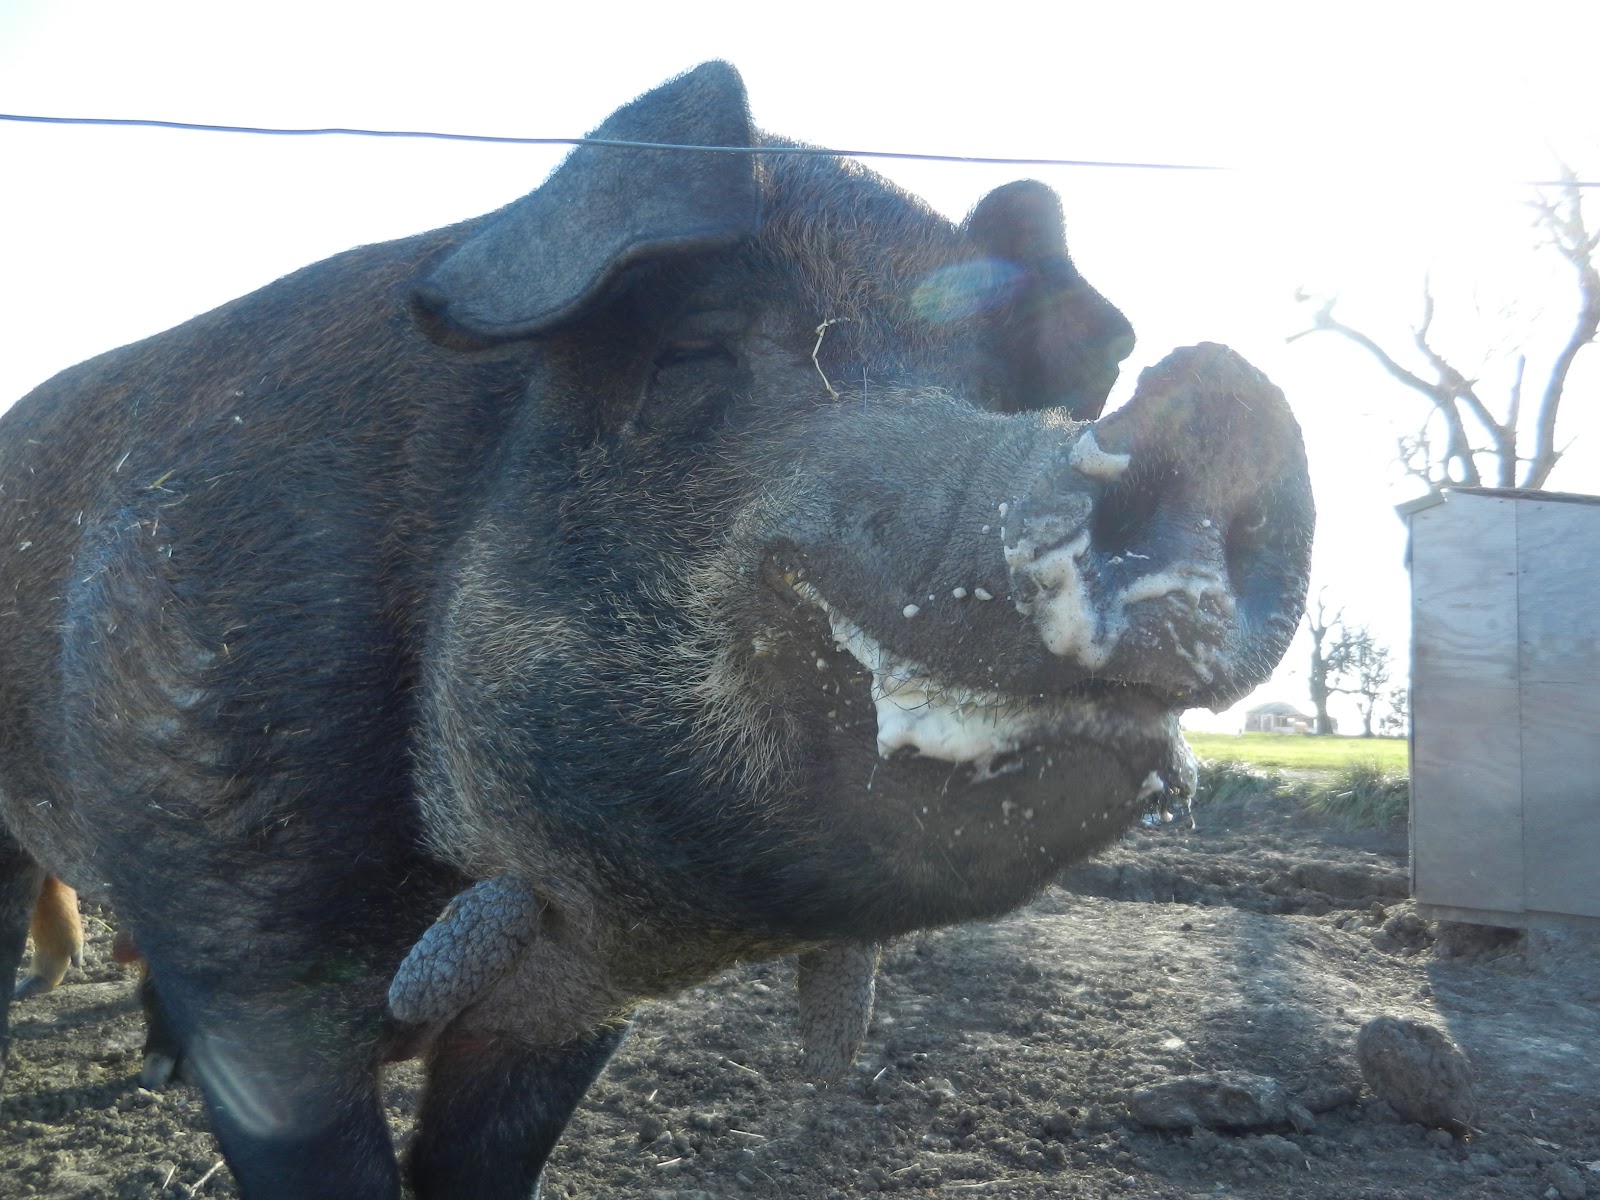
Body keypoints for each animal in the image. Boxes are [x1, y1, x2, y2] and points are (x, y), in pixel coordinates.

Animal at [0, 61, 1312, 1200]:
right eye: (692, 352)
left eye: (1001, 390)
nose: (1218, 405)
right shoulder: (255, 959)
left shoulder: (576, 1016)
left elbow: (487, 1165)